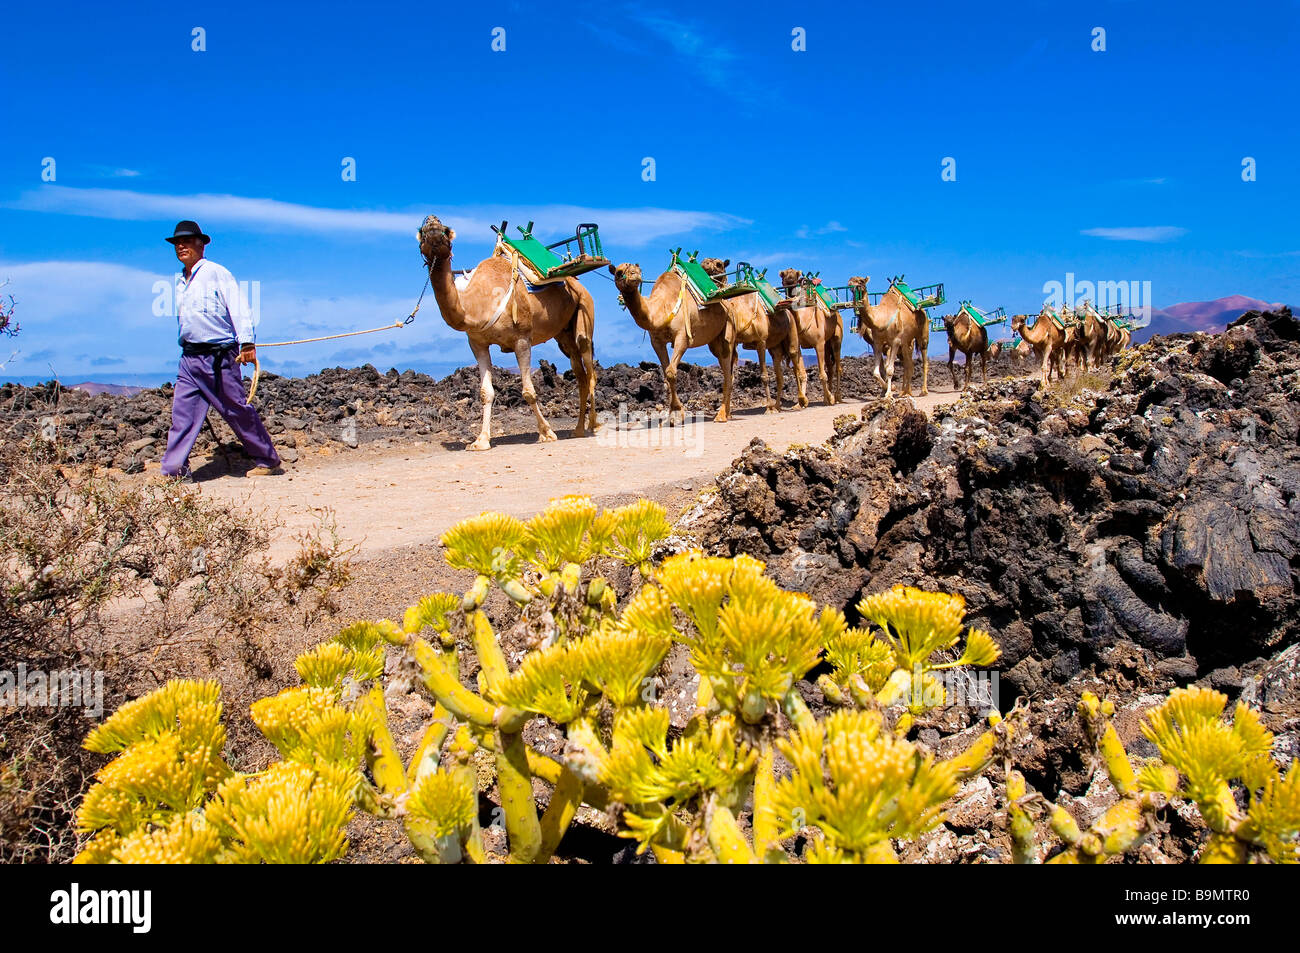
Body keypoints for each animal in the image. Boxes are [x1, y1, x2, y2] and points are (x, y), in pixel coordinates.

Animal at [417, 215, 598, 451]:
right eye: (421, 232)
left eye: (446, 230)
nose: (432, 221)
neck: (477, 303)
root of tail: (577, 283)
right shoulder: (477, 343)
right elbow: (486, 393)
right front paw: (481, 441)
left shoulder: (522, 338)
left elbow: (529, 391)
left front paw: (547, 433)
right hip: (563, 334)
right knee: (580, 374)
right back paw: (577, 430)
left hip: (585, 312)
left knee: (590, 369)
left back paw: (593, 426)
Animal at [608, 261, 736, 423]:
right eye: (619, 272)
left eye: (639, 270)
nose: (634, 275)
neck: (660, 309)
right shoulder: (657, 342)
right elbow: (665, 375)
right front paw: (671, 415)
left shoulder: (682, 336)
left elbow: (671, 372)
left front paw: (676, 413)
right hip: (714, 340)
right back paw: (727, 413)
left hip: (728, 331)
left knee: (727, 374)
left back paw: (721, 415)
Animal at [701, 258, 805, 412]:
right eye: (705, 261)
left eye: (719, 264)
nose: (705, 264)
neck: (739, 313)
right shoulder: (734, 343)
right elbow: (730, 377)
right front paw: (727, 412)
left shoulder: (760, 341)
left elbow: (764, 376)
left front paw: (768, 408)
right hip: (775, 347)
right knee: (780, 375)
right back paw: (778, 406)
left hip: (791, 332)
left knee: (795, 363)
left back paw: (801, 401)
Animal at [778, 269, 843, 406]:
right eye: (783, 281)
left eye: (796, 280)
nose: (788, 300)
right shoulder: (799, 345)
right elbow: (801, 373)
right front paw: (801, 402)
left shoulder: (818, 343)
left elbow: (822, 374)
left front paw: (830, 398)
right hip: (827, 344)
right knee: (830, 367)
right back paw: (826, 398)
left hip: (836, 338)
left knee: (838, 367)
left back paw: (837, 397)